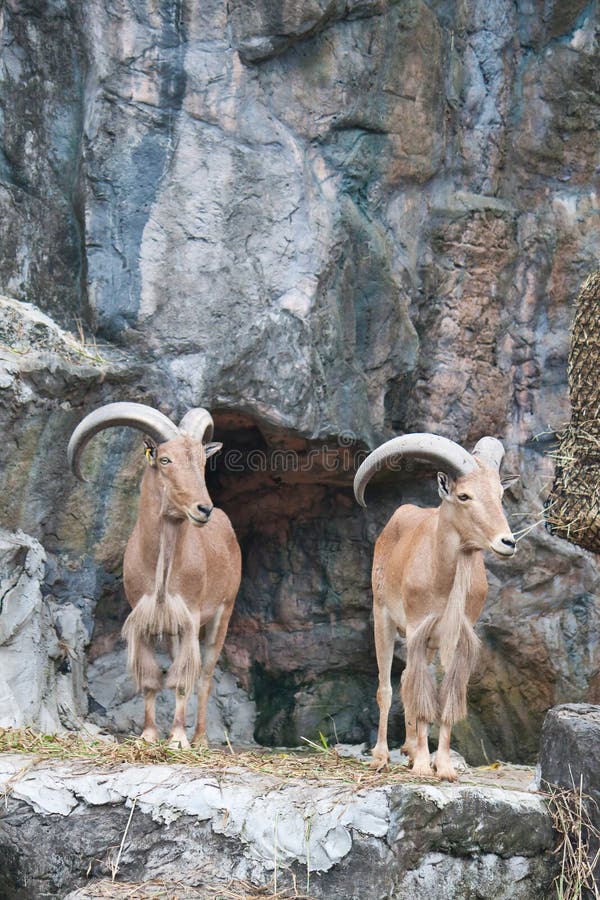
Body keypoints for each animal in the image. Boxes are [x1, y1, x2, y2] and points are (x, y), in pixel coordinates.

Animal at [68, 402, 241, 748]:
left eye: (202, 460)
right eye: (165, 460)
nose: (203, 509)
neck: (162, 567)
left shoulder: (189, 618)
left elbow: (182, 680)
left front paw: (177, 739)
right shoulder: (144, 617)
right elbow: (150, 679)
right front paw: (148, 736)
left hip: (223, 613)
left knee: (204, 676)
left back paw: (200, 738)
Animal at [354, 434, 516, 781]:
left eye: (499, 494)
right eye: (464, 495)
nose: (508, 542)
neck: (444, 580)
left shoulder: (452, 637)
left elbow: (445, 696)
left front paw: (442, 767)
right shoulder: (418, 627)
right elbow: (418, 695)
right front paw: (424, 767)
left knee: (406, 682)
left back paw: (409, 749)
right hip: (382, 617)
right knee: (387, 687)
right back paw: (382, 756)